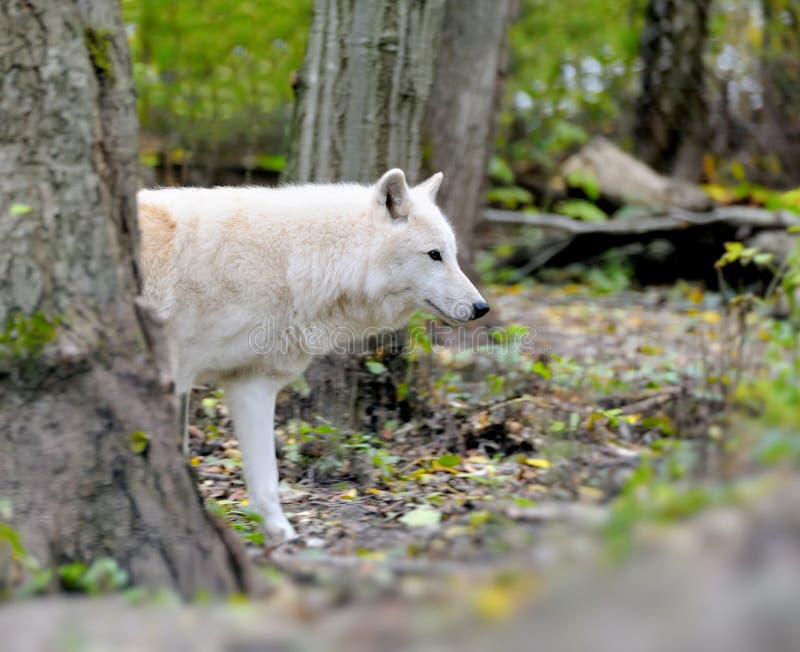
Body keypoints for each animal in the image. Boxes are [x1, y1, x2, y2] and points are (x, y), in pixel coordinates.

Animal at [137, 169, 489, 541]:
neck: (291, 261)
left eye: (452, 254)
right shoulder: (179, 377)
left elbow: (266, 483)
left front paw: (284, 539)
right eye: (434, 255)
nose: (482, 308)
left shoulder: (249, 383)